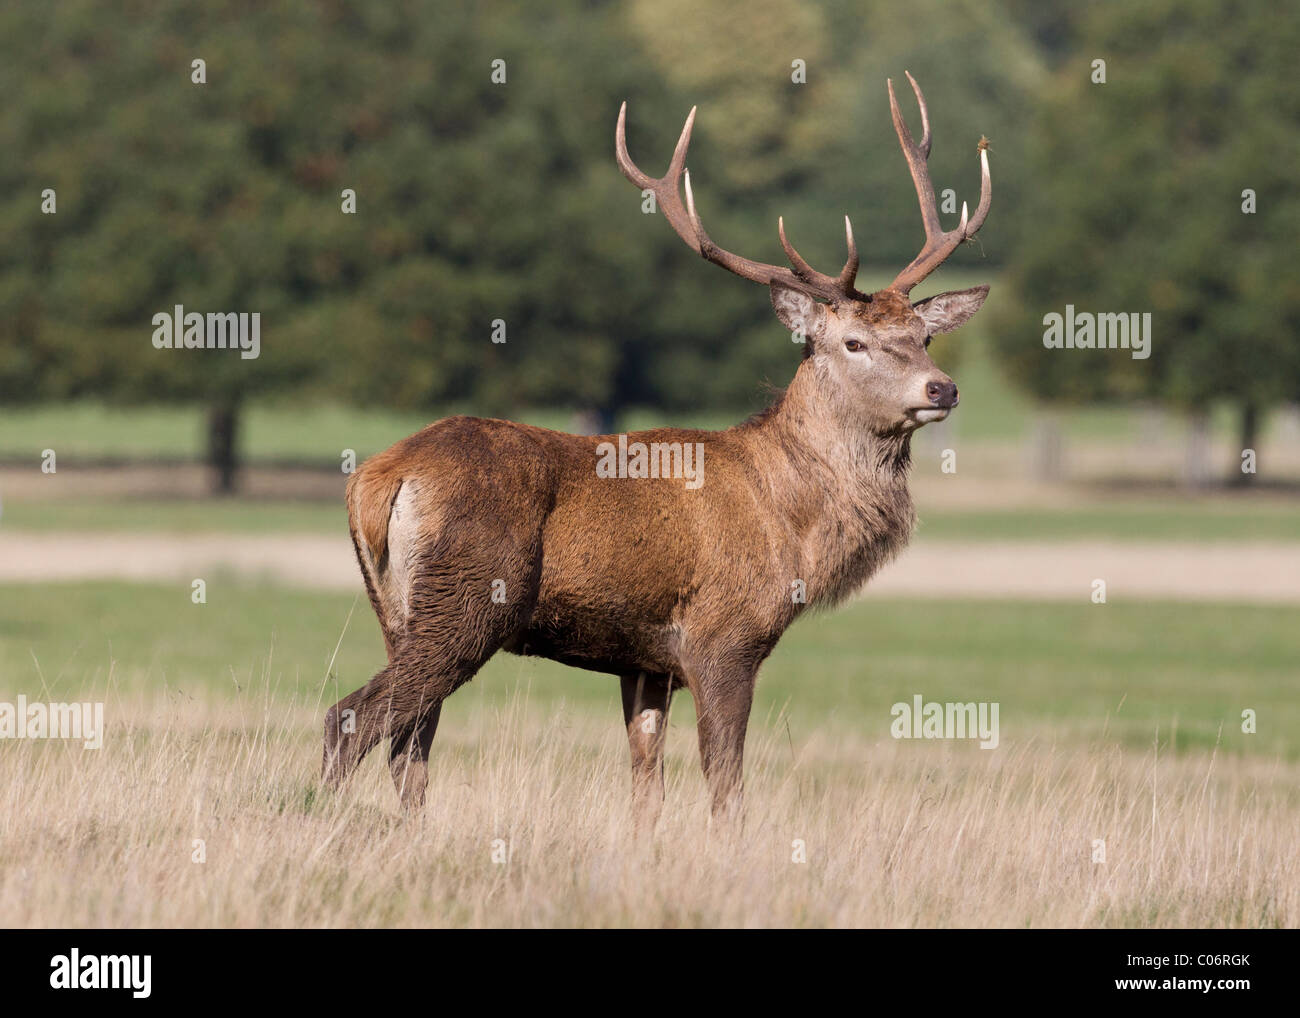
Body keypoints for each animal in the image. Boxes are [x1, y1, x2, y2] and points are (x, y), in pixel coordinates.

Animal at [322, 72, 992, 829]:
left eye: (924, 336)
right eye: (853, 341)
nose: (943, 388)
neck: (791, 525)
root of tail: (379, 479)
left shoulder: (644, 662)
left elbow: (647, 785)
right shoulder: (723, 635)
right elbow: (725, 783)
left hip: (397, 611)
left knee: (408, 743)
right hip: (470, 598)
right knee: (352, 720)